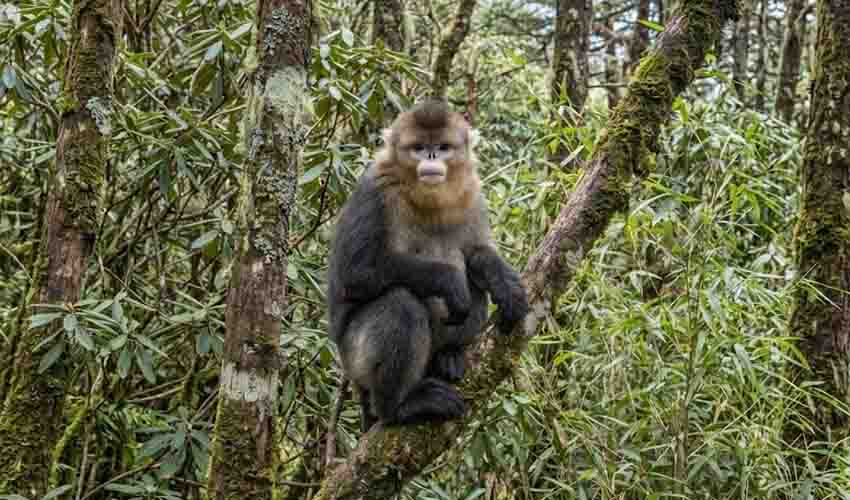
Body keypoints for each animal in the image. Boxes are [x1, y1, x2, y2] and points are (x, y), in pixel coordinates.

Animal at [327, 100, 528, 431]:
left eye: (443, 147)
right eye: (419, 147)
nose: (432, 157)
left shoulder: (472, 192)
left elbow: (477, 254)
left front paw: (503, 280)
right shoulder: (375, 189)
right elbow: (355, 275)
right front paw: (448, 280)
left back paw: (448, 356)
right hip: (355, 360)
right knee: (400, 304)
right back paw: (398, 407)